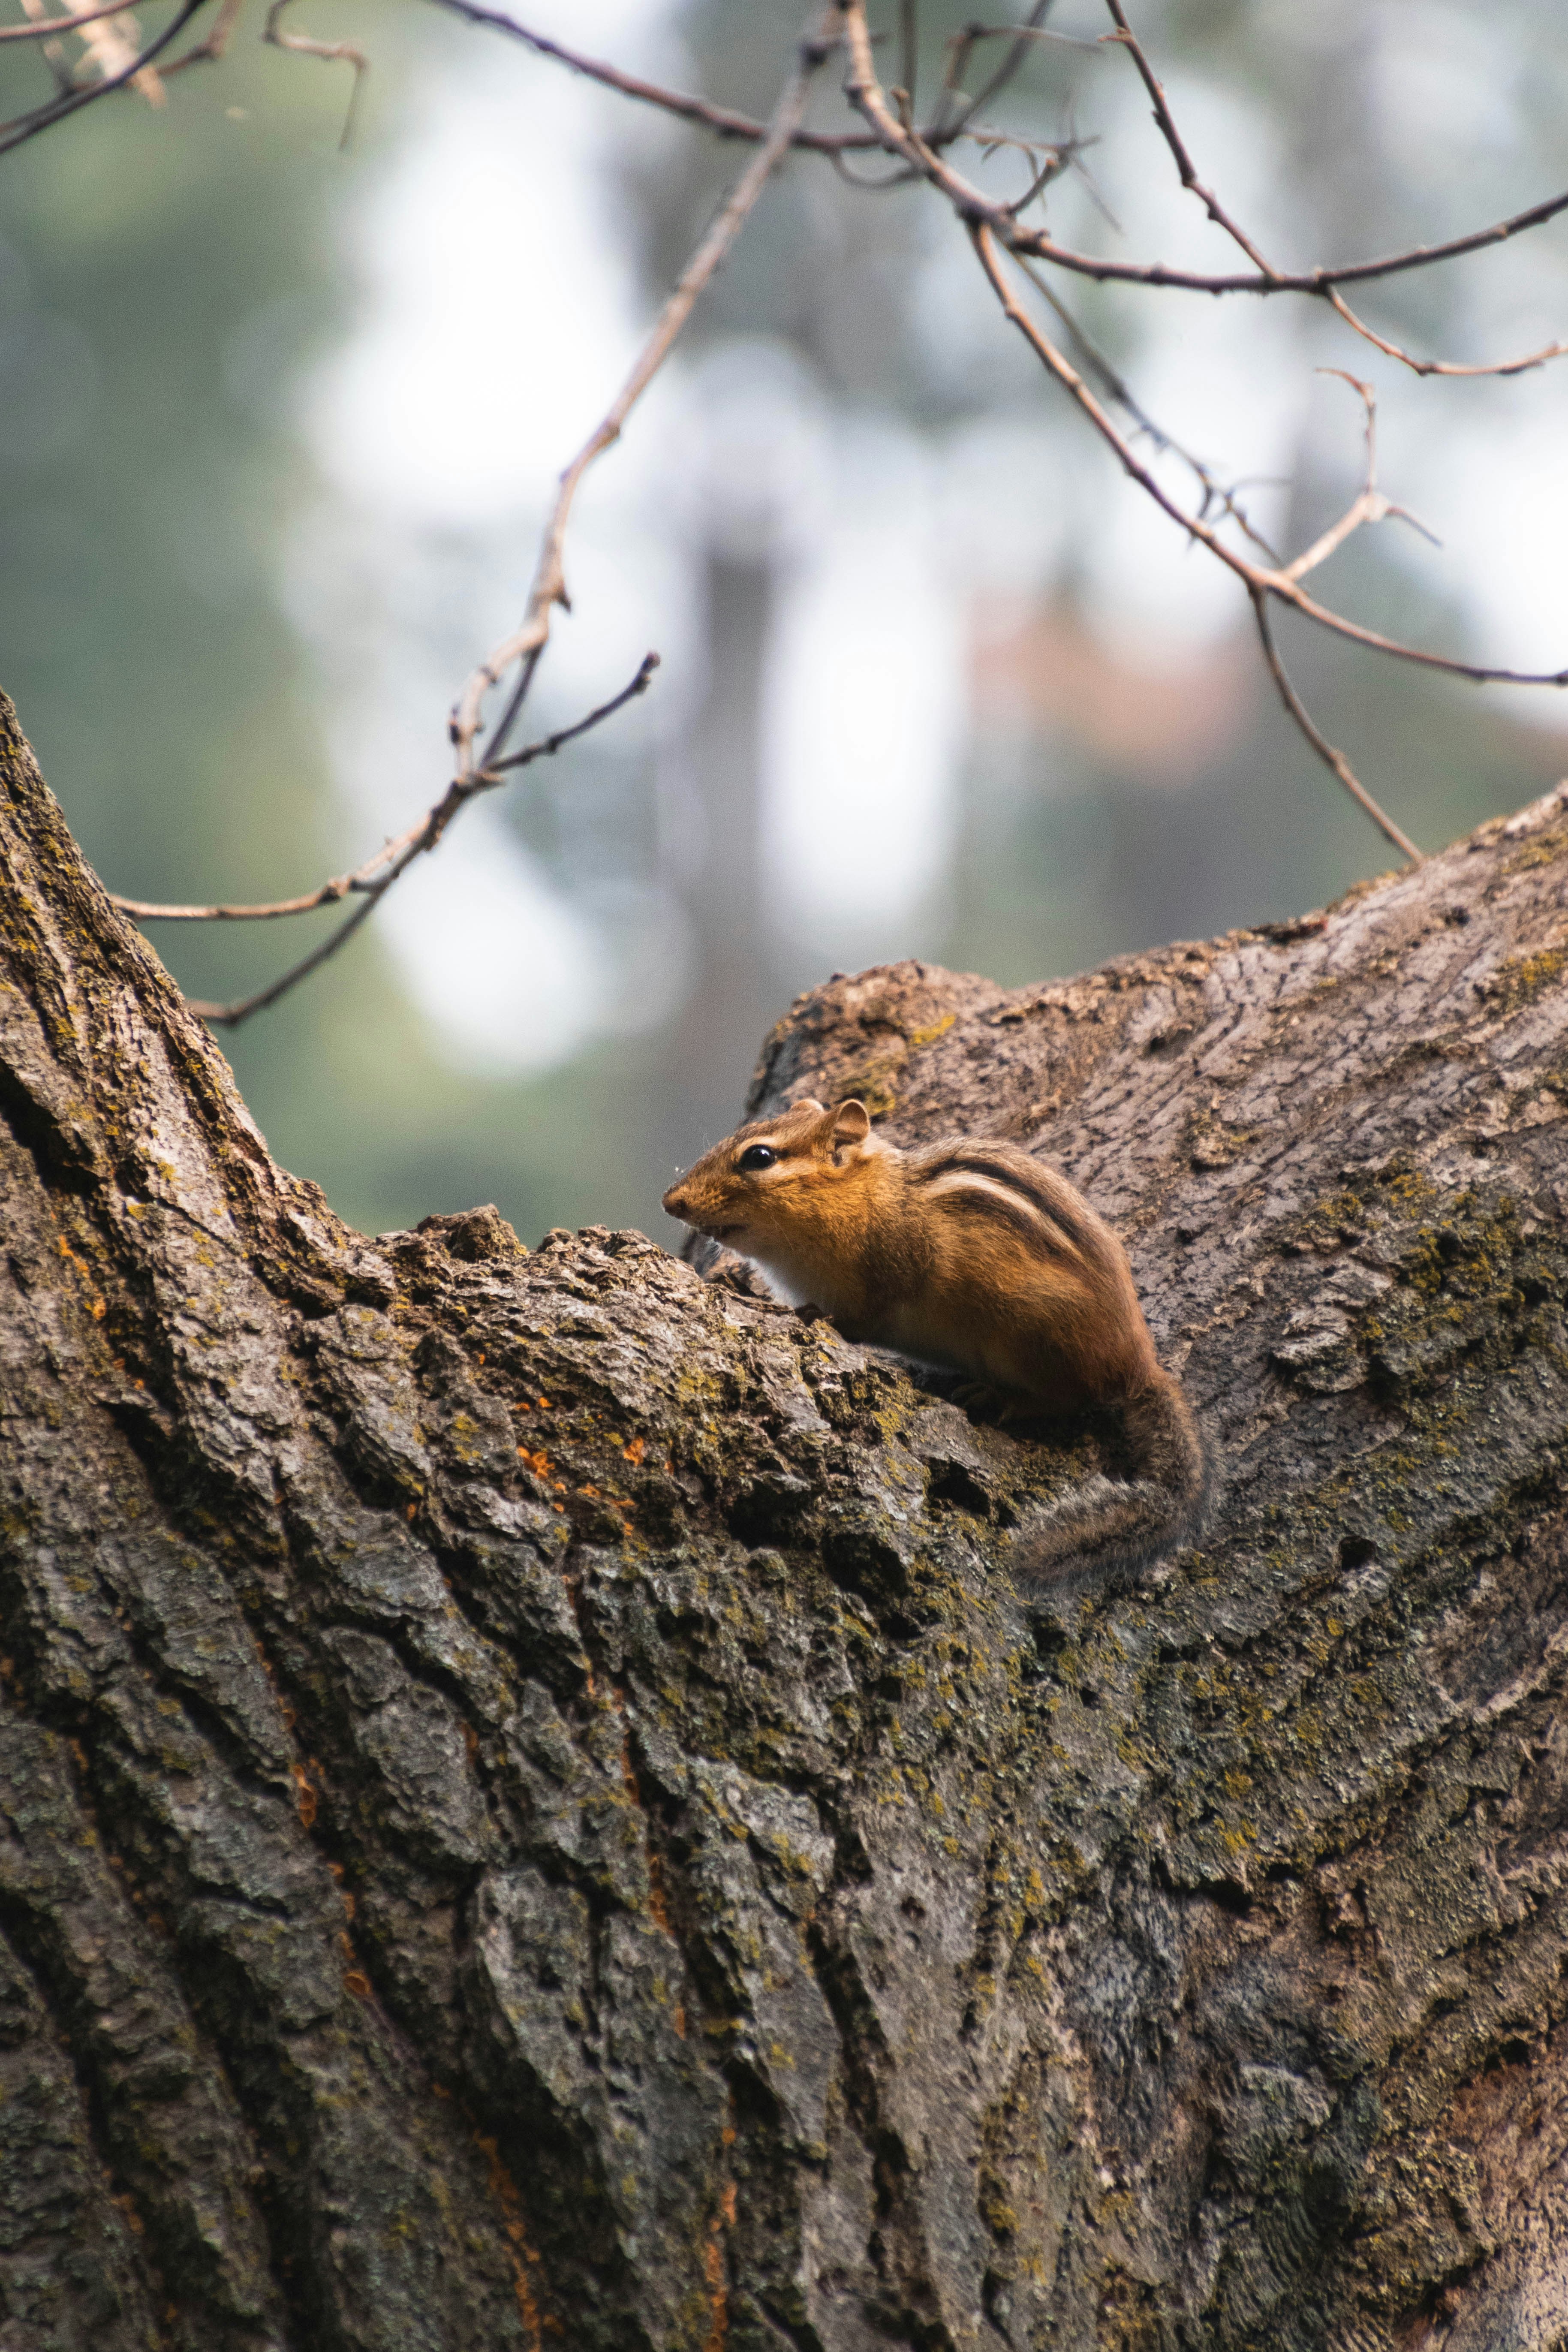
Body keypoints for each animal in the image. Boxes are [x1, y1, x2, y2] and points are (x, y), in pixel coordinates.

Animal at [662, 1095, 1211, 1598]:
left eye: (759, 1157)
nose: (672, 1203)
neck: (862, 1196)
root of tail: (1139, 1366)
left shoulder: (886, 1274)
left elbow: (855, 1318)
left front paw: (807, 1315)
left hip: (1027, 1336)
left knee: (1067, 1398)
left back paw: (998, 1396)